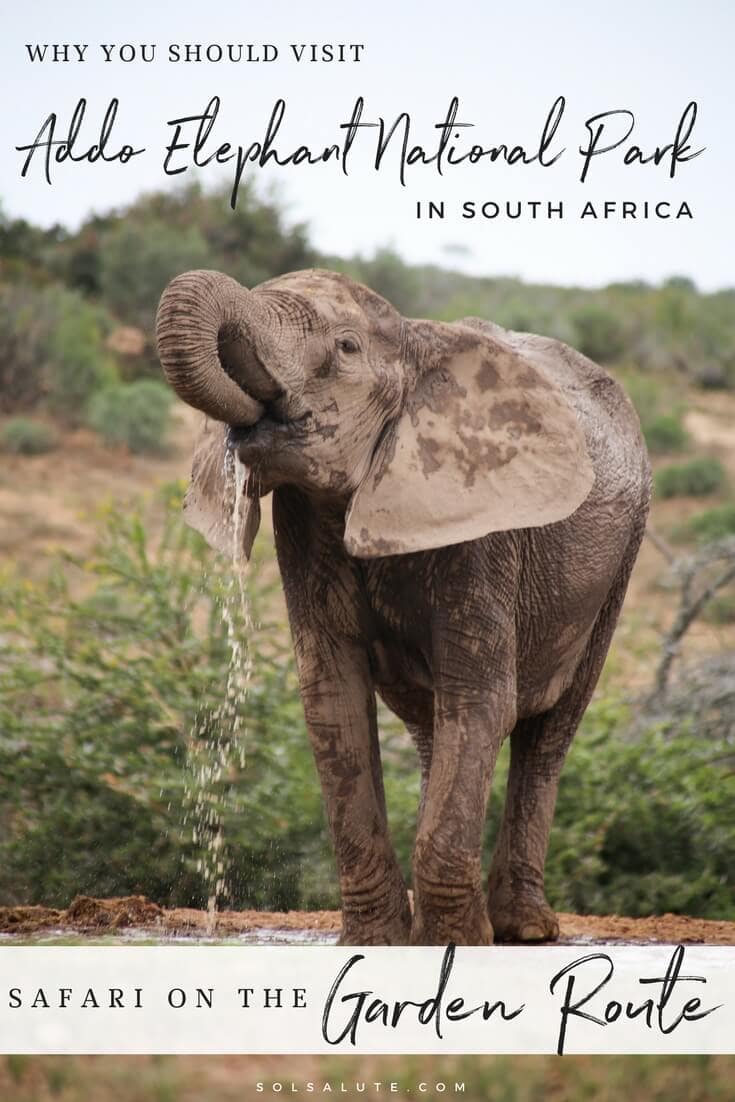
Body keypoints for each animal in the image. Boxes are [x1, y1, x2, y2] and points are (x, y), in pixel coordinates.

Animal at [156, 267, 651, 946]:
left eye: (345, 348)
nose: (247, 423)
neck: (417, 345)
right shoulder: (304, 520)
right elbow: (334, 703)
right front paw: (379, 942)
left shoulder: (483, 528)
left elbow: (482, 700)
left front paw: (453, 944)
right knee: (432, 728)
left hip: (619, 561)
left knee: (548, 732)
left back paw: (524, 929)